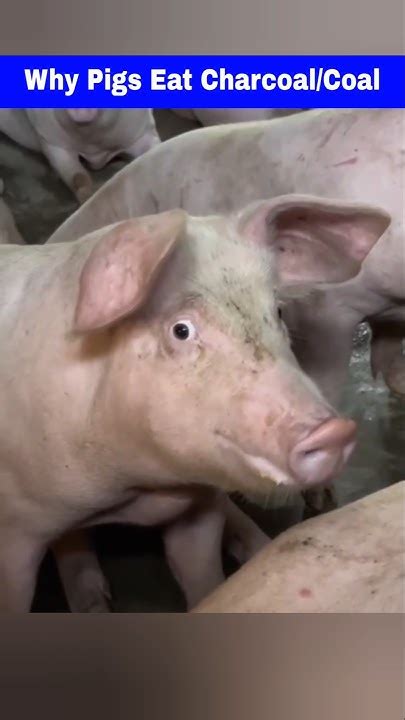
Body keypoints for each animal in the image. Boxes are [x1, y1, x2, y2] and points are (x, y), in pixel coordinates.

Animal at [1, 194, 387, 612]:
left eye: (279, 311)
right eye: (182, 330)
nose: (334, 431)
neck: (134, 489)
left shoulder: (199, 508)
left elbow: (201, 574)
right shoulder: (16, 531)